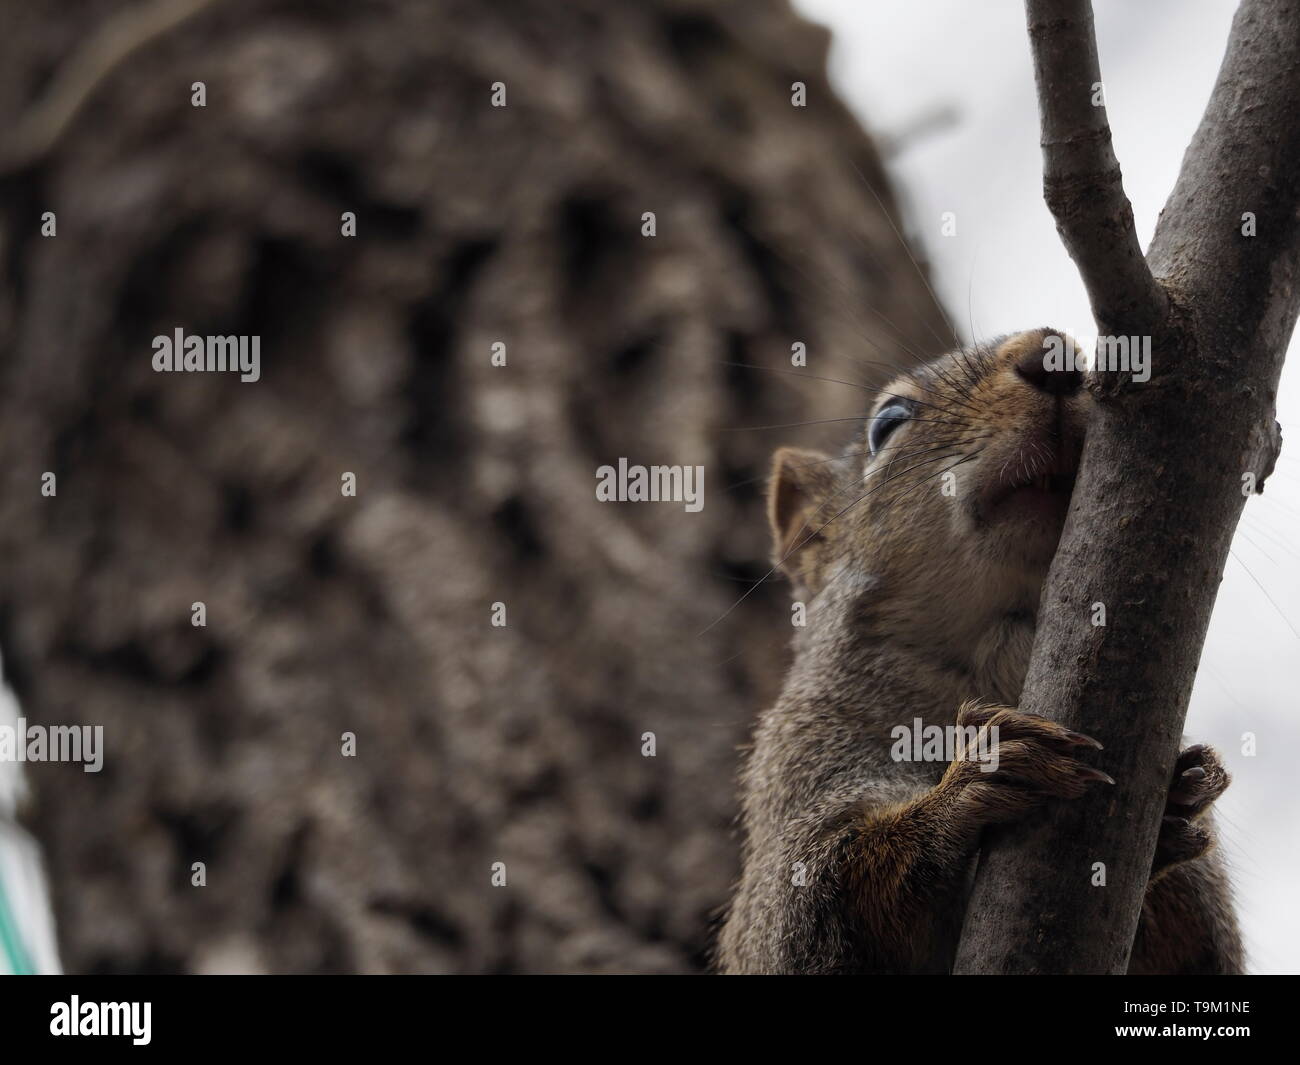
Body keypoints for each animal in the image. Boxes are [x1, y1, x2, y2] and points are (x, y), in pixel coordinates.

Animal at [716, 328, 1243, 975]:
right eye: (886, 424)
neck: (993, 665)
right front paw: (975, 779)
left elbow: (1195, 948)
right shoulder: (800, 770)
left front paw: (1176, 804)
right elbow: (808, 917)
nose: (1051, 353)